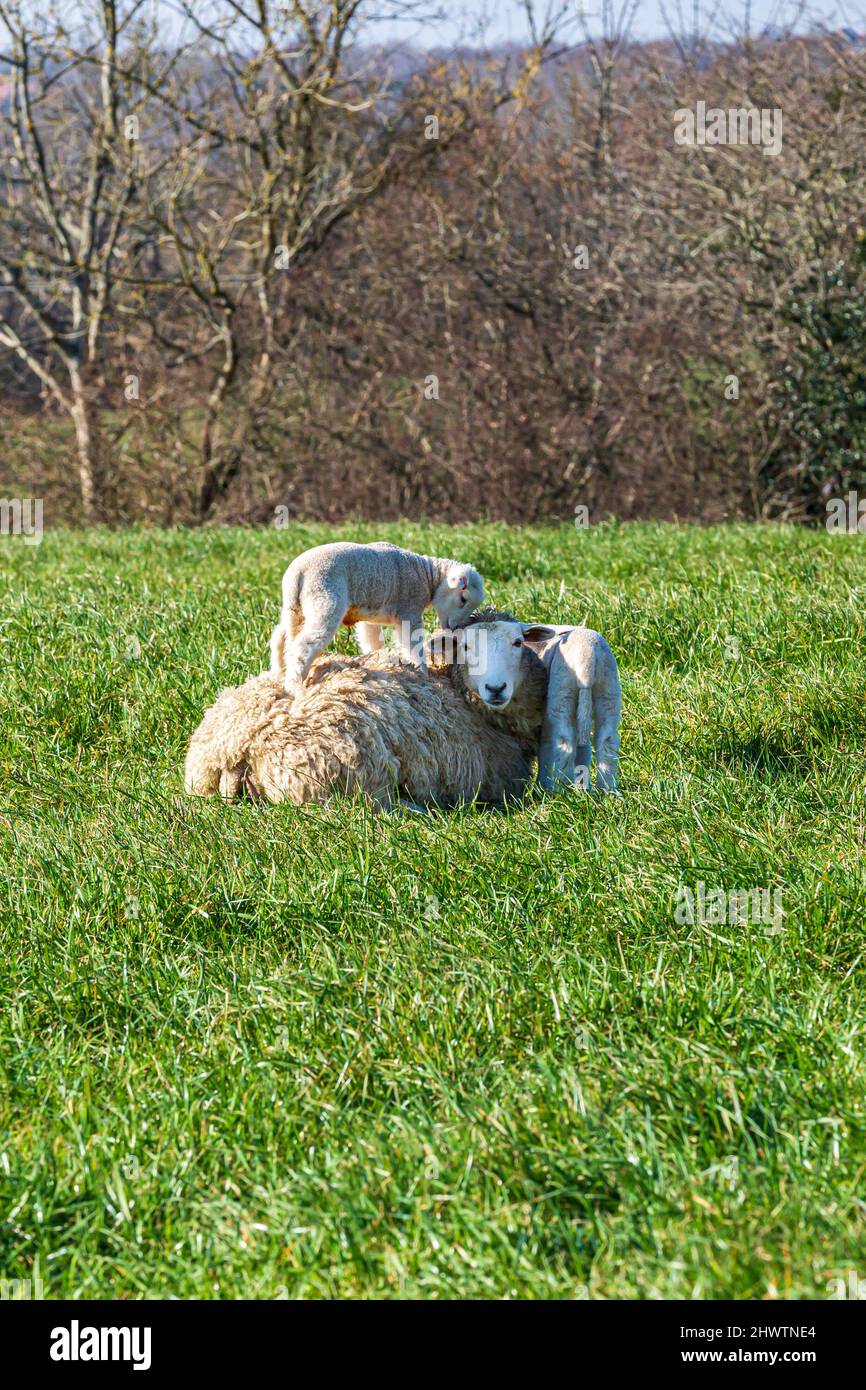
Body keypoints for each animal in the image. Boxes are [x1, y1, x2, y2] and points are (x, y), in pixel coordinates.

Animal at [269, 541, 485, 692]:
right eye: (463, 599)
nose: (454, 628)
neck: (427, 575)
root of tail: (298, 573)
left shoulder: (368, 616)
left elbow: (371, 639)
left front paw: (378, 658)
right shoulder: (409, 608)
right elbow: (412, 644)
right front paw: (423, 673)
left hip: (295, 608)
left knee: (281, 638)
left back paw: (279, 674)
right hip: (324, 598)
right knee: (303, 646)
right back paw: (296, 688)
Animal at [523, 625, 622, 793]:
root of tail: (588, 656)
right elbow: (584, 750)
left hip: (562, 692)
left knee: (564, 740)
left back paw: (560, 788)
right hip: (608, 690)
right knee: (607, 740)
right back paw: (606, 789)